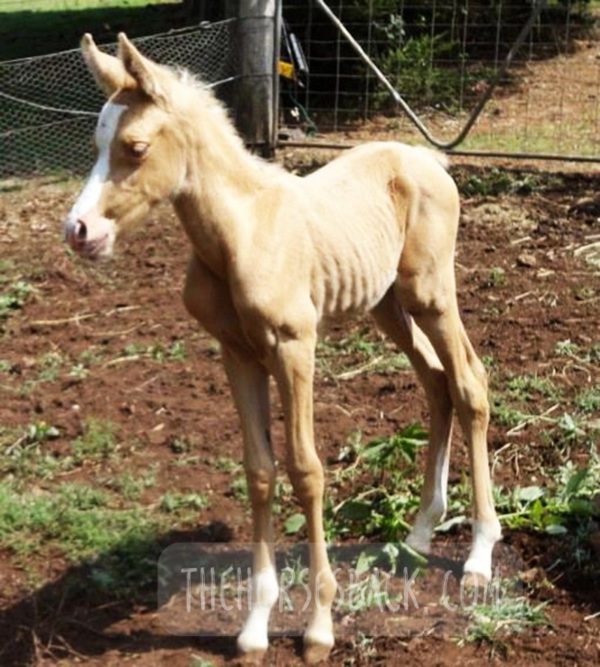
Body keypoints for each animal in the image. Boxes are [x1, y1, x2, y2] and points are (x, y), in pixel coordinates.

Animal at [64, 33, 502, 663]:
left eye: (135, 146)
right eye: (97, 143)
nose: (78, 231)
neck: (240, 234)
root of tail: (427, 160)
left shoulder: (296, 345)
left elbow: (306, 469)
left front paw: (318, 626)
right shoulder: (237, 352)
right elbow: (260, 471)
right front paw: (254, 626)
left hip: (431, 292)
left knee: (469, 382)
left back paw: (480, 554)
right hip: (386, 303)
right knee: (436, 381)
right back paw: (420, 532)